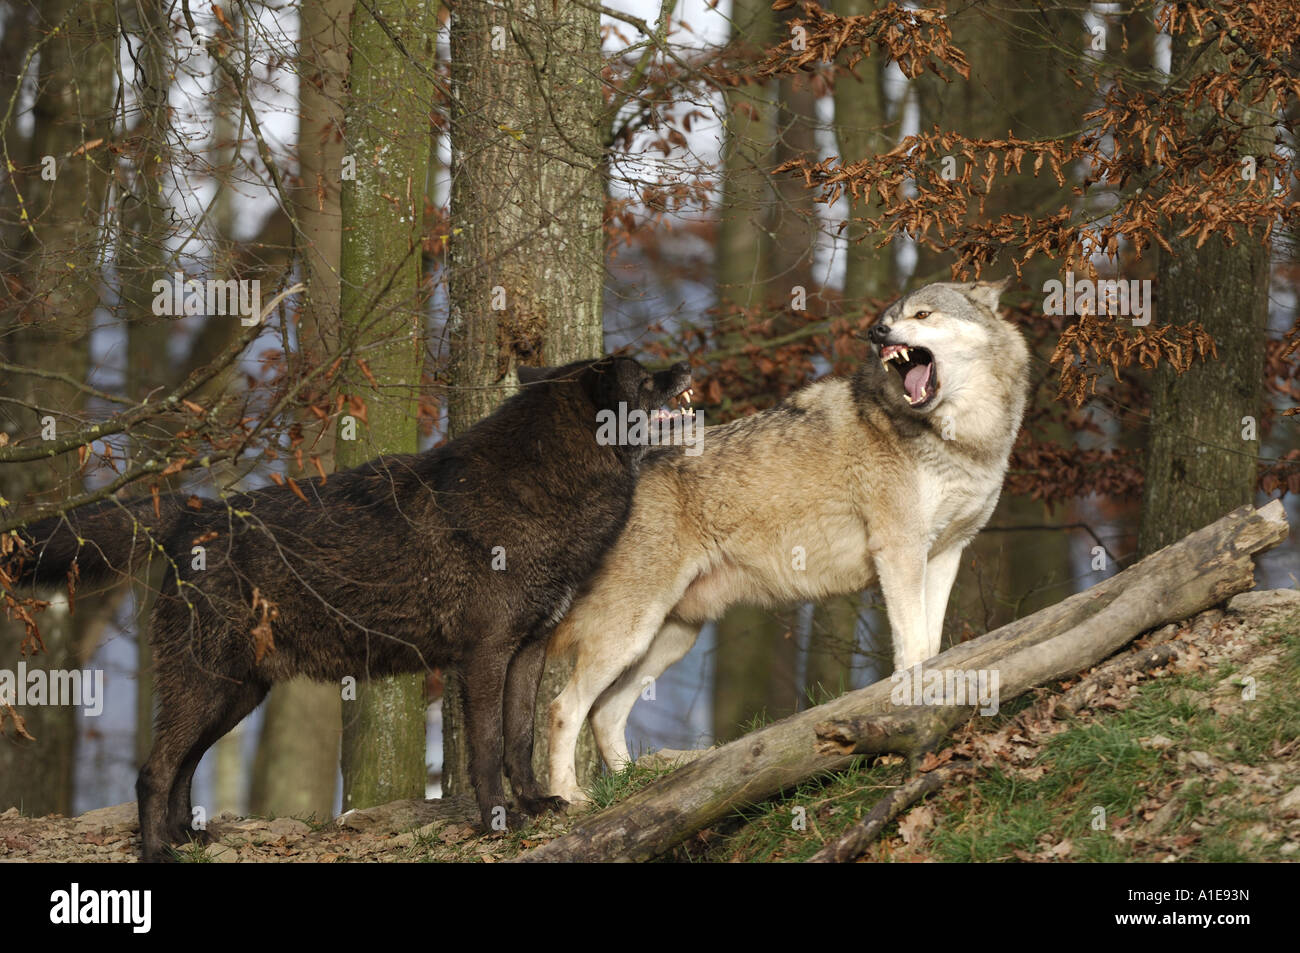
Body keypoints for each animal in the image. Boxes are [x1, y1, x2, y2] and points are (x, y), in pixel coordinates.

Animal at [4, 356, 692, 860]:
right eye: (642, 375)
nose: (684, 365)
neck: (540, 489)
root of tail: (194, 513)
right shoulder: (483, 658)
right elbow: (488, 749)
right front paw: (497, 823)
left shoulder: (525, 653)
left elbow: (520, 740)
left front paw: (536, 806)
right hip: (207, 686)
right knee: (153, 769)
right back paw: (157, 852)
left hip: (236, 693)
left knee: (182, 767)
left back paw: (187, 837)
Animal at [544, 279, 1029, 803]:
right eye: (889, 318)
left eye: (922, 314)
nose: (877, 332)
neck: (962, 440)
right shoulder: (900, 551)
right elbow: (915, 647)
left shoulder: (946, 553)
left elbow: (935, 645)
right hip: (631, 633)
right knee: (564, 707)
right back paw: (570, 799)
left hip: (670, 637)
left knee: (605, 712)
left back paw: (636, 788)